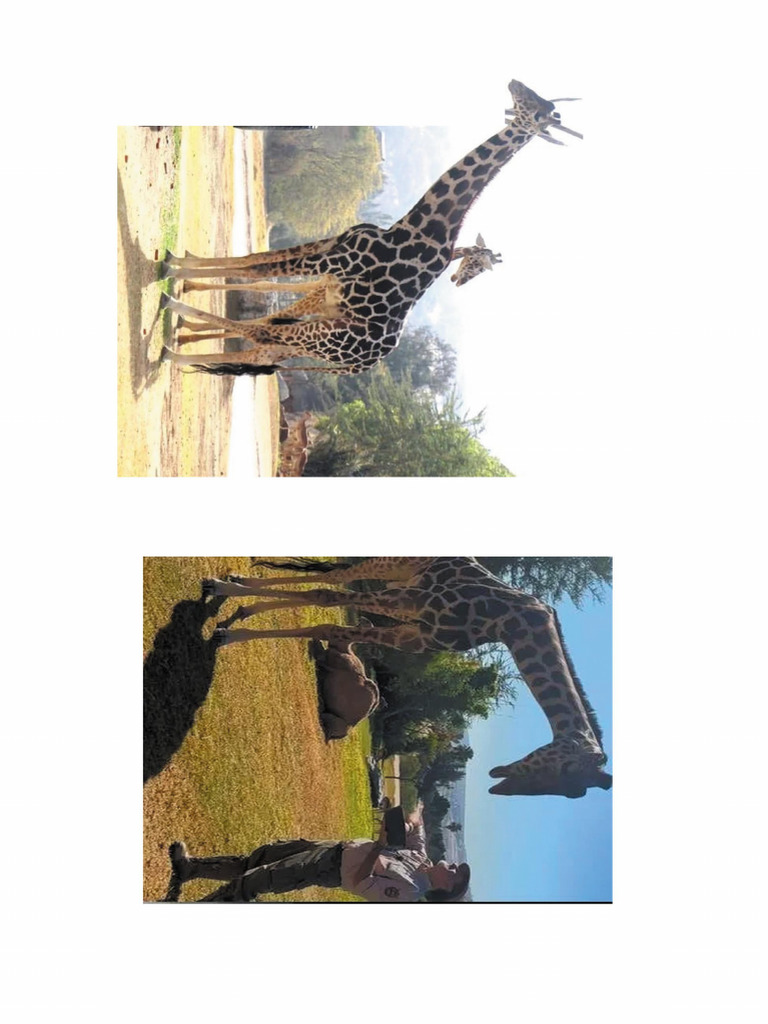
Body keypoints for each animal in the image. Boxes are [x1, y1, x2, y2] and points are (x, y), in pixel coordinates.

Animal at [160, 79, 581, 376]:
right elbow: (256, 260)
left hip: (322, 337)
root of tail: (364, 362)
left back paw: (173, 334)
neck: (419, 228)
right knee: (262, 338)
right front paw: (183, 266)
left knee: (261, 335)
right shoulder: (331, 250)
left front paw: (174, 270)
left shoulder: (334, 265)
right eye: (536, 102)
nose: (514, 81)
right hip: (319, 333)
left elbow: (257, 271)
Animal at [203, 557, 611, 799]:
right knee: (333, 577)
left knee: (331, 579)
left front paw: (234, 619)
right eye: (566, 772)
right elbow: (326, 596)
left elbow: (331, 617)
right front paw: (229, 625)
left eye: (574, 791)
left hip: (403, 582)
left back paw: (238, 596)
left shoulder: (417, 635)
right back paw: (227, 587)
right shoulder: (413, 603)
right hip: (399, 572)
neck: (505, 623)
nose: (499, 780)